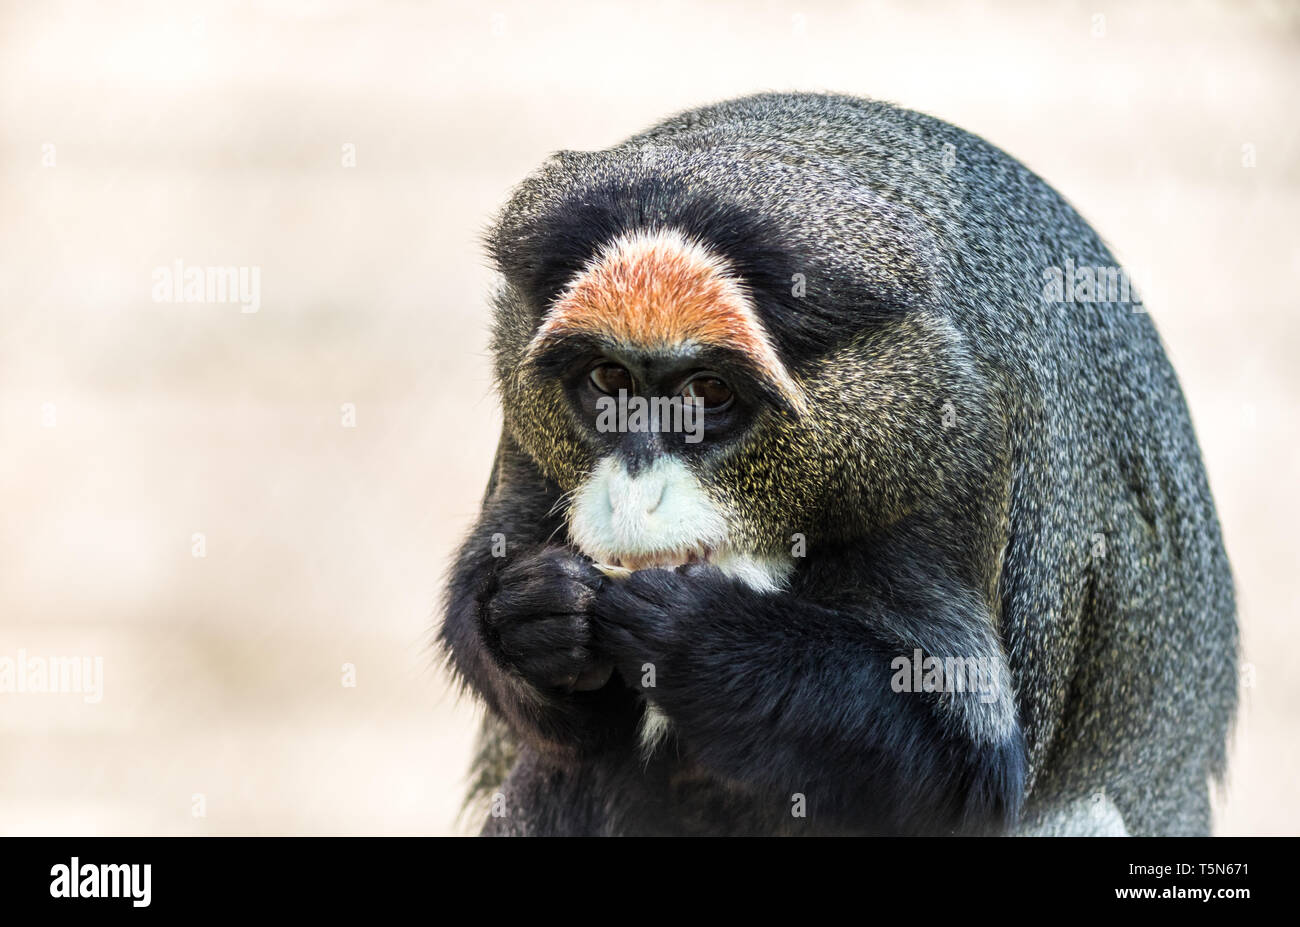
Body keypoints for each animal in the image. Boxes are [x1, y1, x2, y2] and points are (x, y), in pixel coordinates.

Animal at [438, 92, 1238, 836]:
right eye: (608, 380)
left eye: (708, 392)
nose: (636, 496)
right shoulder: (527, 421)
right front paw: (534, 612)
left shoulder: (959, 442)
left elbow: (963, 765)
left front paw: (695, 635)